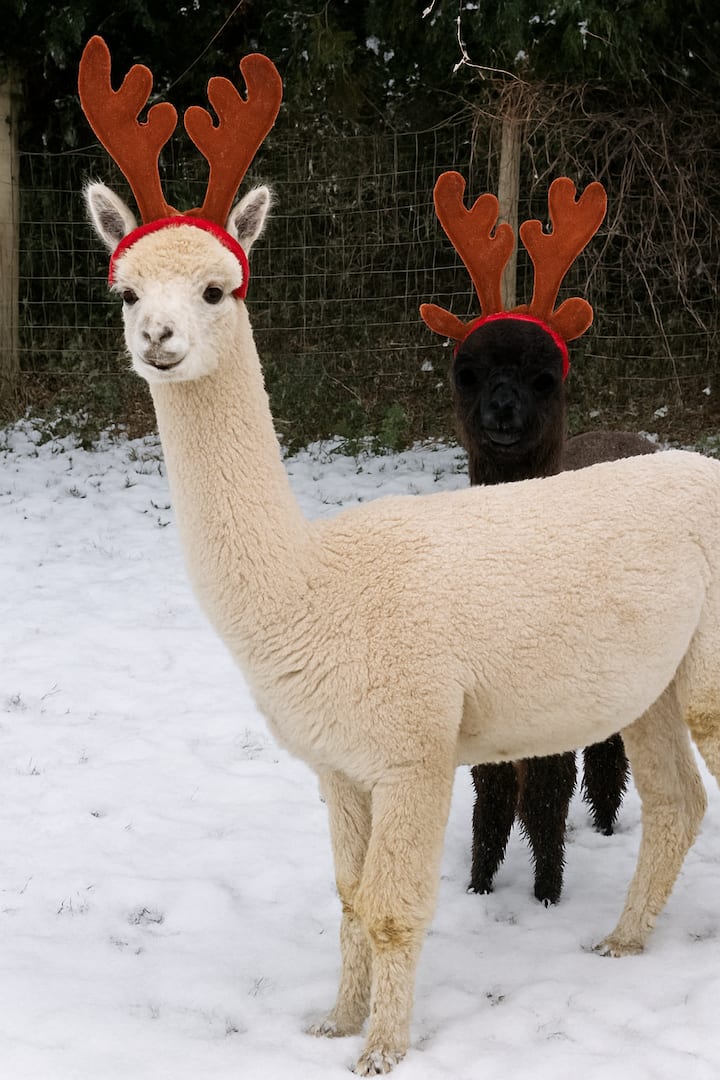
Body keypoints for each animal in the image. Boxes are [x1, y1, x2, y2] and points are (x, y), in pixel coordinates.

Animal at [80, 37, 720, 1076]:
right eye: (125, 289)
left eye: (220, 286)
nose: (158, 340)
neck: (309, 586)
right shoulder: (339, 763)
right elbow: (347, 901)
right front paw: (332, 1021)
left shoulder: (415, 744)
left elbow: (390, 909)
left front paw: (380, 1050)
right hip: (653, 682)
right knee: (676, 801)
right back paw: (621, 943)